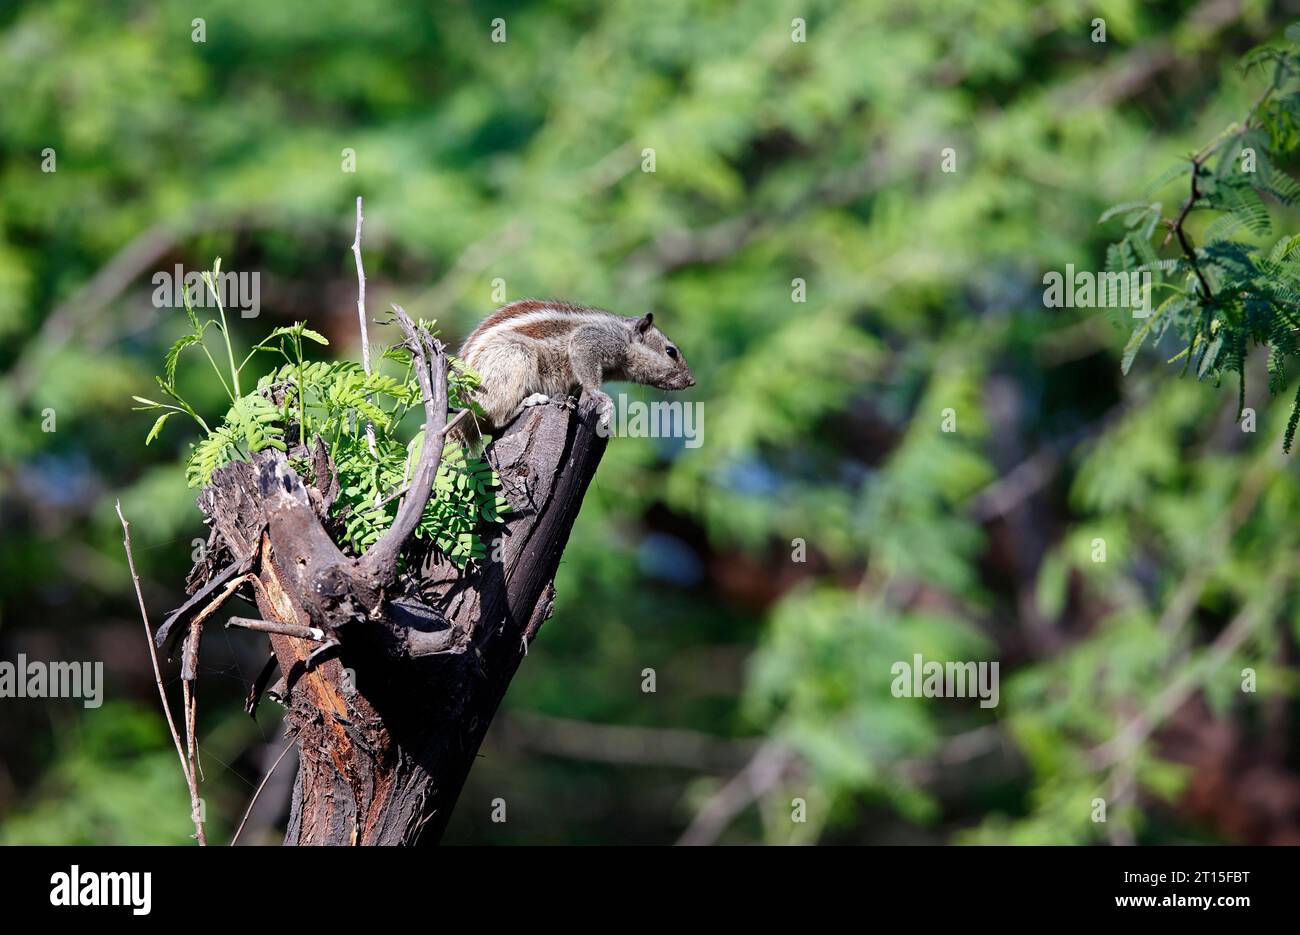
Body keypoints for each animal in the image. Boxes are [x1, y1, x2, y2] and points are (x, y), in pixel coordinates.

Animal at [458, 299, 695, 431]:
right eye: (671, 352)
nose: (692, 381)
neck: (626, 335)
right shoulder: (591, 340)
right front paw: (601, 398)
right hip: (515, 357)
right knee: (497, 420)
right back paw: (528, 402)